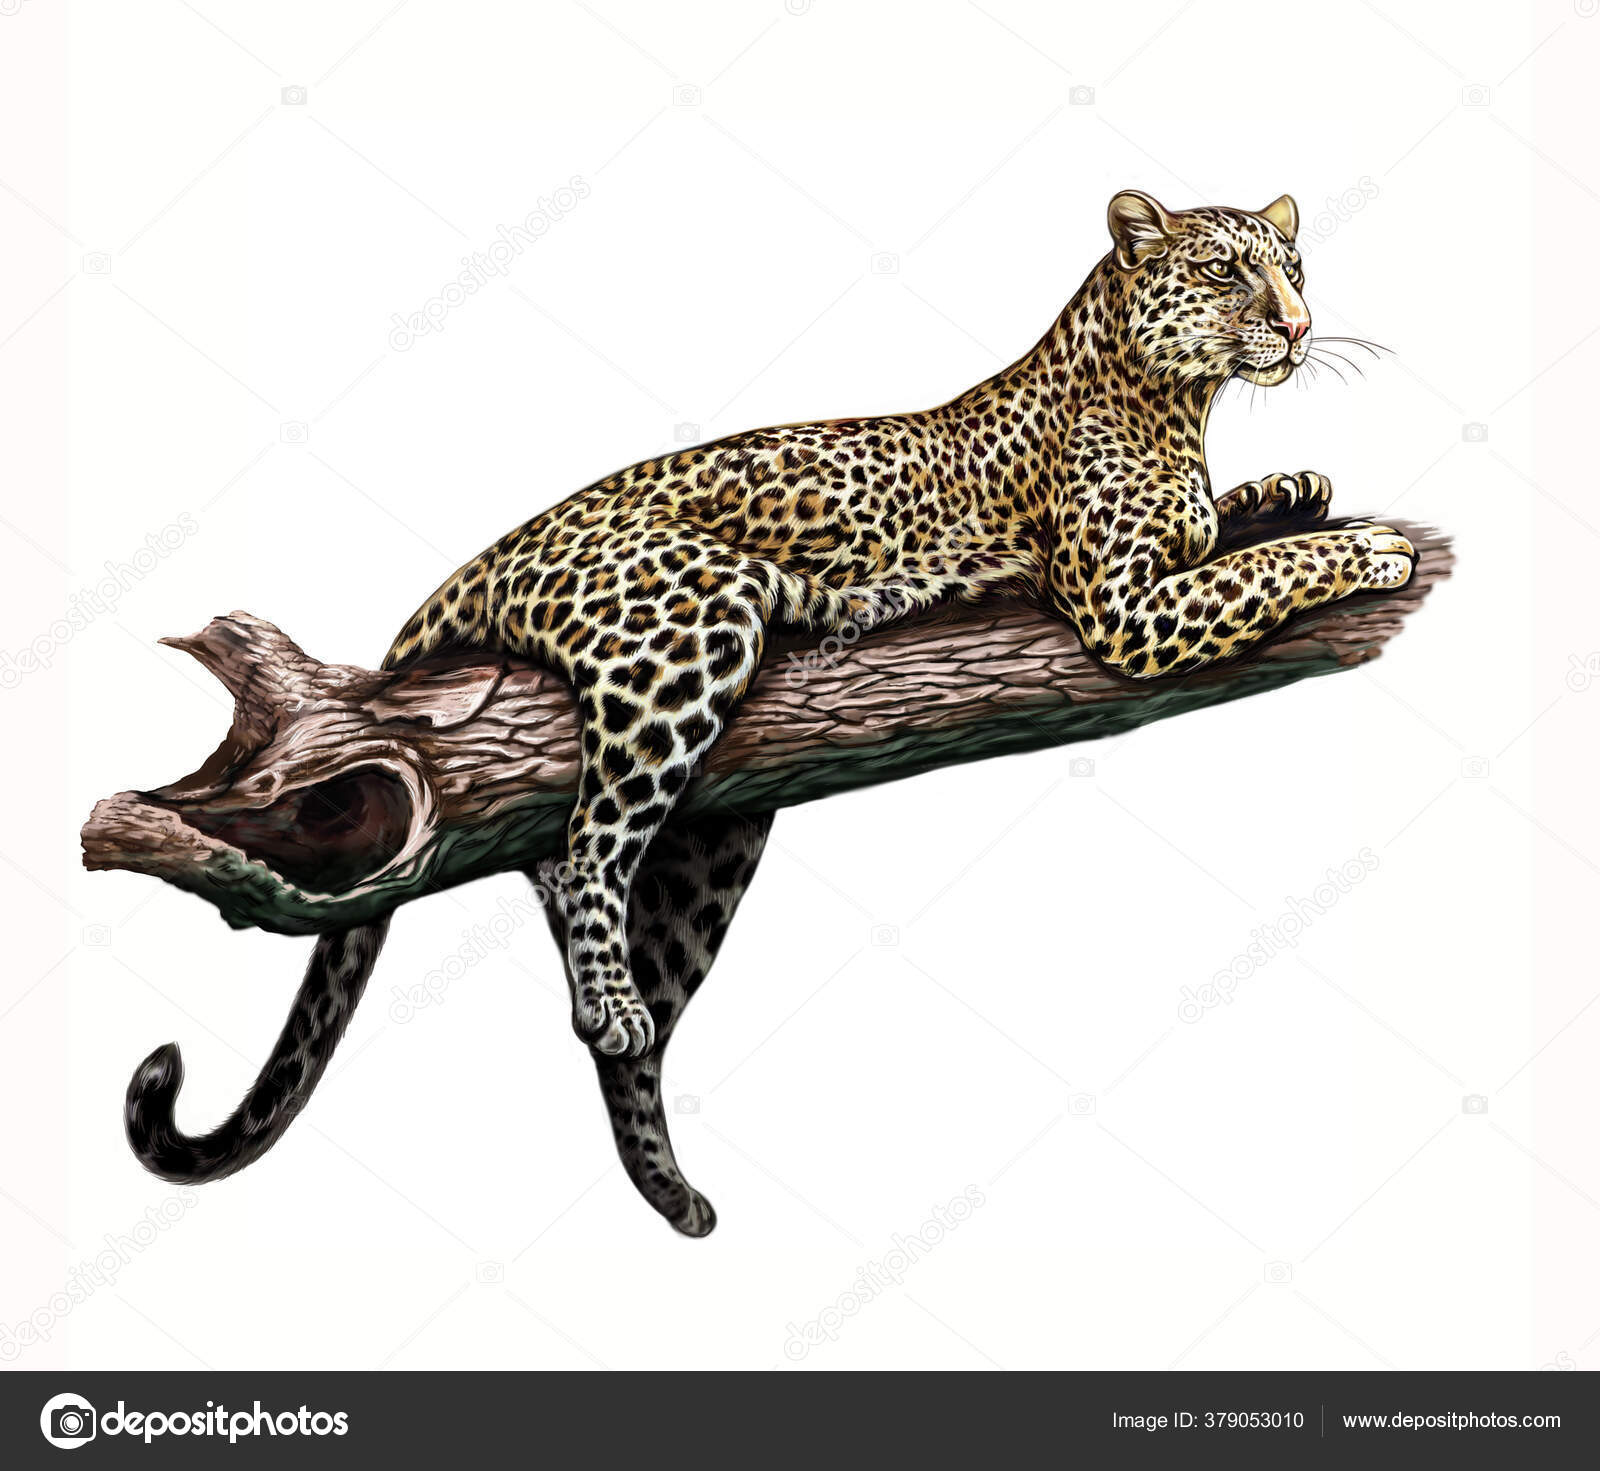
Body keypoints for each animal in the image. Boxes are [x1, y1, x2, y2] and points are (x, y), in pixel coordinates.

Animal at [127, 191, 1415, 1233]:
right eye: (1225, 272)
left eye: (1295, 268)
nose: (1298, 327)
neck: (1172, 403)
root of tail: (486, 559)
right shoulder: (1123, 607)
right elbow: (1258, 570)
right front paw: (1375, 549)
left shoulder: (1169, 557)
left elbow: (1239, 525)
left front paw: (1295, 486)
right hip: (687, 628)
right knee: (590, 845)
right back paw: (615, 1000)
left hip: (711, 841)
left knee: (610, 947)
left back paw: (664, 1171)